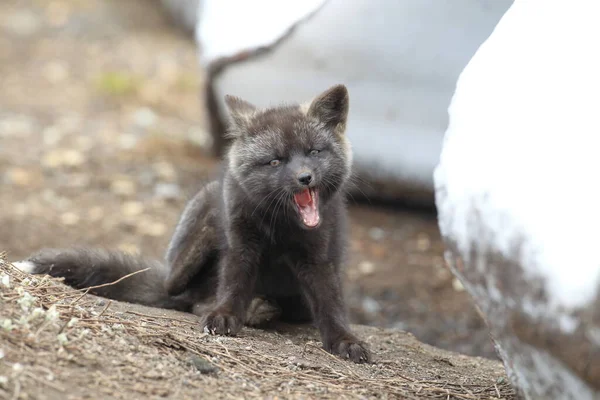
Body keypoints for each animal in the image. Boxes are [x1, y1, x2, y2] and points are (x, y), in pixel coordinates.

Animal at [12, 85, 370, 366]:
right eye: (275, 161)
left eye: (314, 151)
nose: (305, 177)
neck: (279, 228)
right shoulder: (241, 247)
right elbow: (232, 287)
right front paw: (224, 316)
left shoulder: (316, 257)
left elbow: (331, 305)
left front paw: (345, 340)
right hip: (197, 228)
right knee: (180, 288)